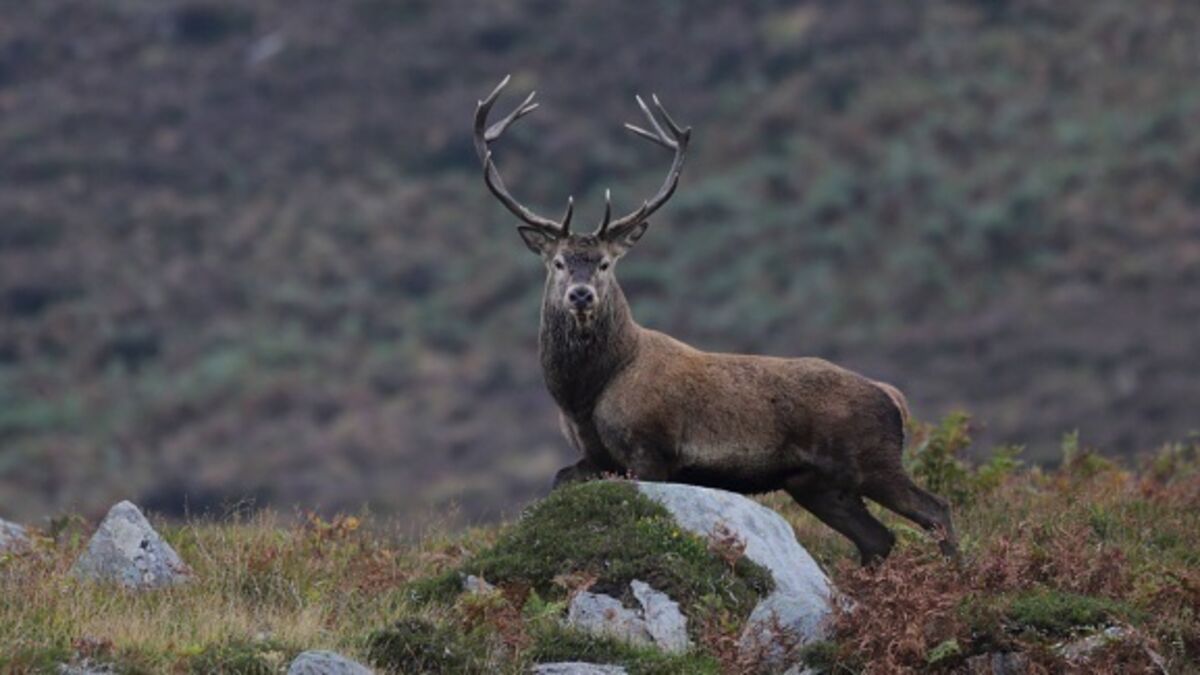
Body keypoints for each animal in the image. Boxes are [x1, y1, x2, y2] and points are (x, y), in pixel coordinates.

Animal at [473, 76, 957, 565]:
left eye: (605, 264)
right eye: (558, 263)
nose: (580, 294)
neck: (586, 393)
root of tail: (893, 397)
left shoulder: (651, 447)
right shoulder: (597, 457)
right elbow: (557, 482)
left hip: (872, 459)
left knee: (936, 509)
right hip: (817, 484)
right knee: (879, 538)